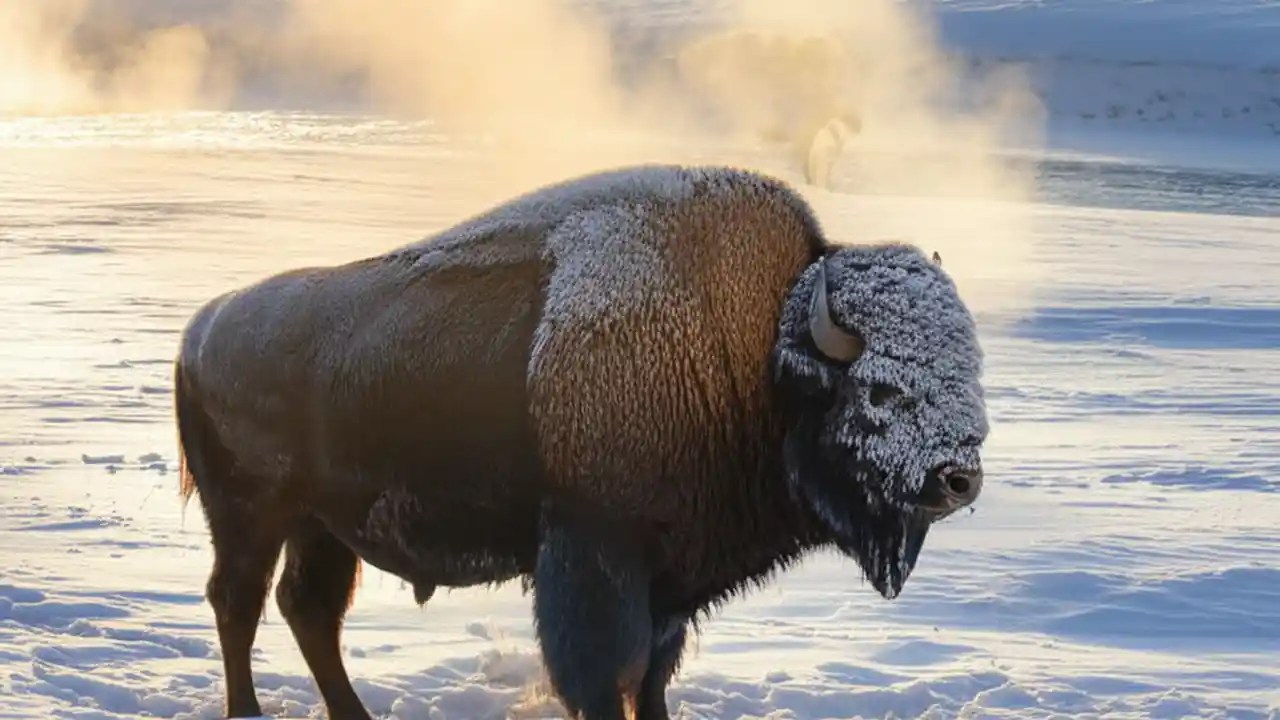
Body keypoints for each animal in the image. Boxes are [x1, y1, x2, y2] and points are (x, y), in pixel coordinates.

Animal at [174, 164, 988, 720]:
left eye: (967, 370)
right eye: (882, 390)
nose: (959, 479)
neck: (753, 352)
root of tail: (204, 326)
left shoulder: (671, 580)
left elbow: (652, 673)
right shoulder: (595, 554)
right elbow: (604, 674)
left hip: (322, 526)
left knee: (307, 609)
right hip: (251, 517)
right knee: (238, 602)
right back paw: (248, 711)